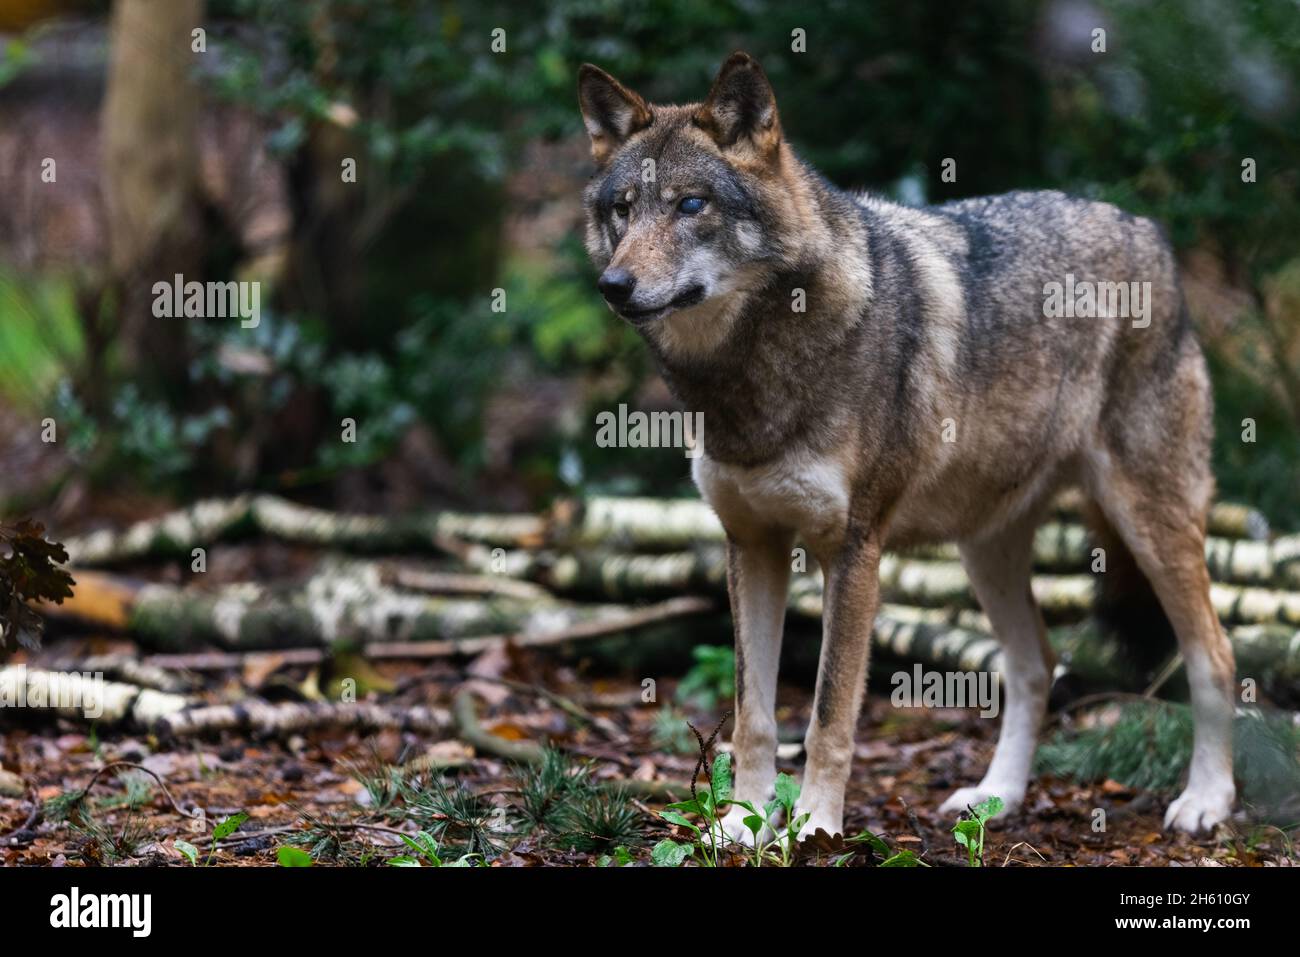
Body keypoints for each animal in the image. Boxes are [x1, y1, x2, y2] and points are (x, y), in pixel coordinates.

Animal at [577, 52, 1236, 839]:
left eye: (689, 205)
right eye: (623, 209)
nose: (614, 285)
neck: (751, 375)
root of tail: (1150, 231)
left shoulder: (855, 549)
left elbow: (830, 712)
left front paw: (816, 827)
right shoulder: (751, 543)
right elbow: (753, 716)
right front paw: (740, 823)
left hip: (1150, 525)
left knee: (1214, 654)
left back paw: (1206, 800)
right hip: (986, 548)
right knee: (1035, 665)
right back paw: (996, 796)